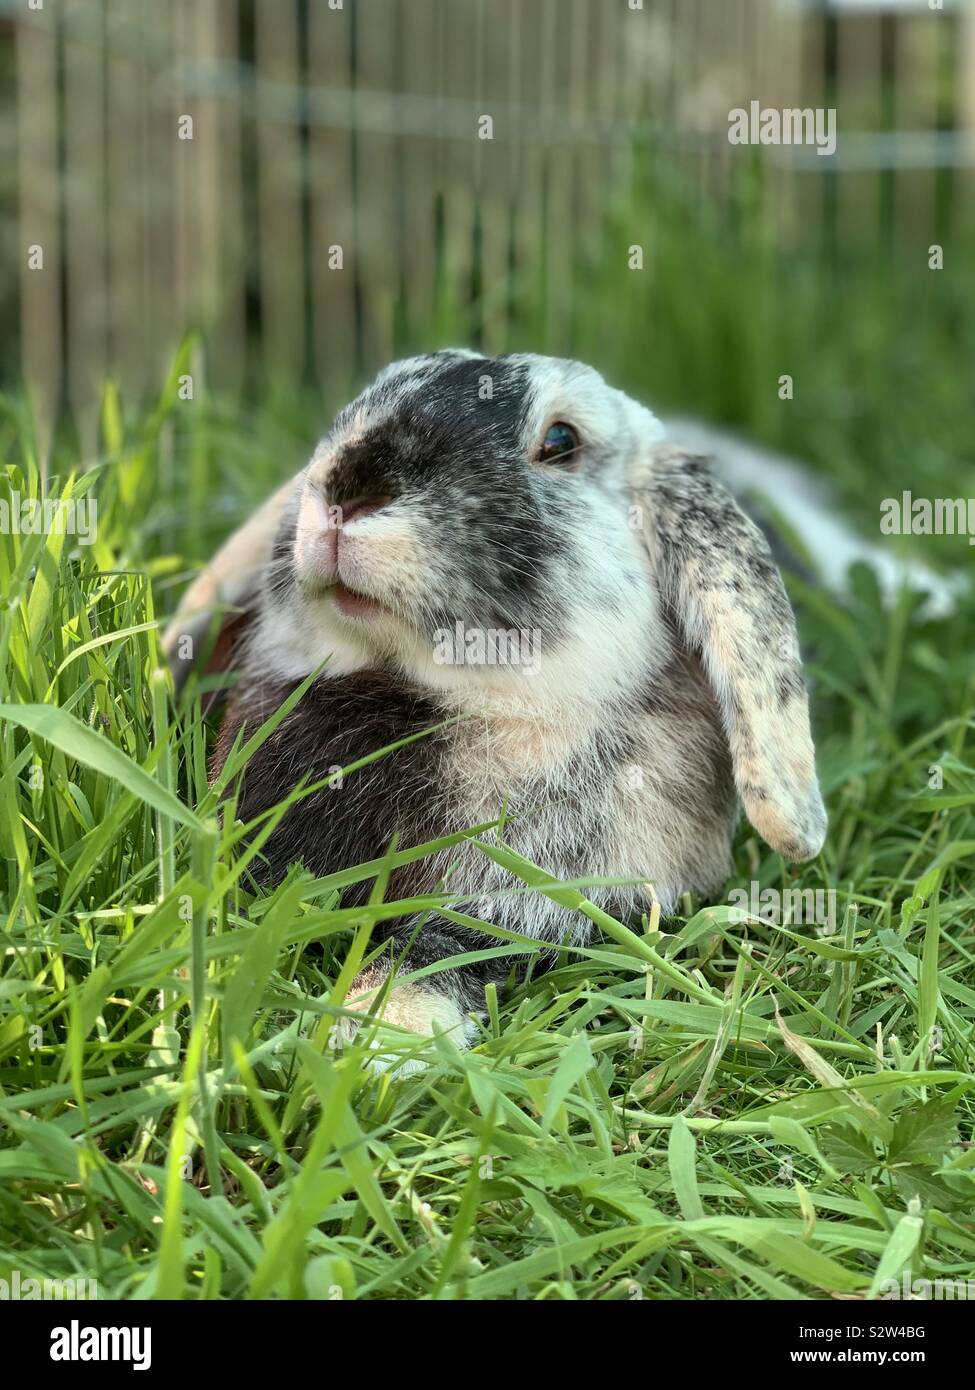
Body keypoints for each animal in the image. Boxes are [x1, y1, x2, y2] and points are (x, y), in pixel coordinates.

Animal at [164, 349, 834, 1069]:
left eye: (561, 441)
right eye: (362, 402)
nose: (348, 490)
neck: (435, 698)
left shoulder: (517, 912)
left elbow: (430, 955)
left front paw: (378, 1038)